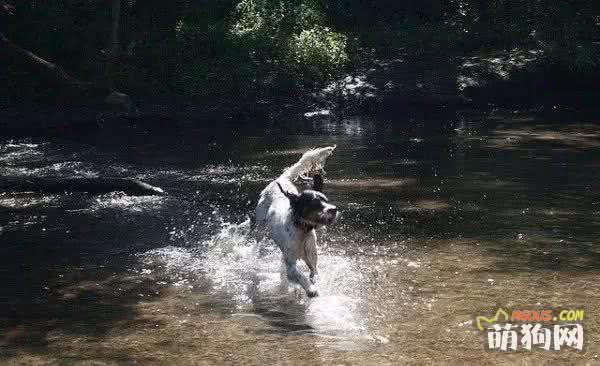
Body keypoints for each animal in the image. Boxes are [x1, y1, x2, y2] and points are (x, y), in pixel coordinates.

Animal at [253, 146, 338, 298]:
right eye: (314, 203)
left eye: (326, 200)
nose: (334, 209)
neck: (302, 230)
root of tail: (279, 180)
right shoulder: (291, 264)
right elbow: (299, 275)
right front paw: (311, 290)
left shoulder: (311, 257)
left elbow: (313, 272)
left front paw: (313, 283)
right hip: (260, 228)